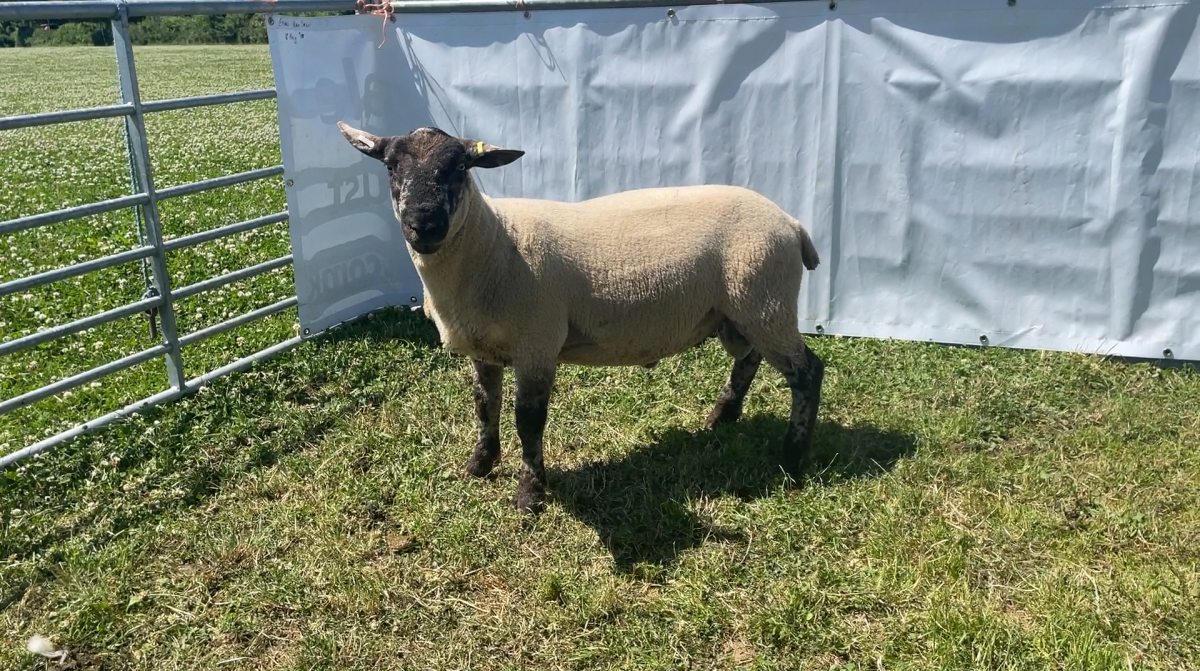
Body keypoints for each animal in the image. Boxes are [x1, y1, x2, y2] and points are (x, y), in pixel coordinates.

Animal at [337, 121, 825, 513]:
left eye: (460, 168)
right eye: (390, 167)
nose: (424, 225)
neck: (496, 244)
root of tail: (792, 222)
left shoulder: (537, 343)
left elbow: (528, 420)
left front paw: (530, 493)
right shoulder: (484, 348)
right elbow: (484, 406)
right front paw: (479, 465)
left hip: (765, 300)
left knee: (807, 371)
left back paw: (793, 453)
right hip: (738, 310)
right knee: (749, 359)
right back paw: (722, 417)